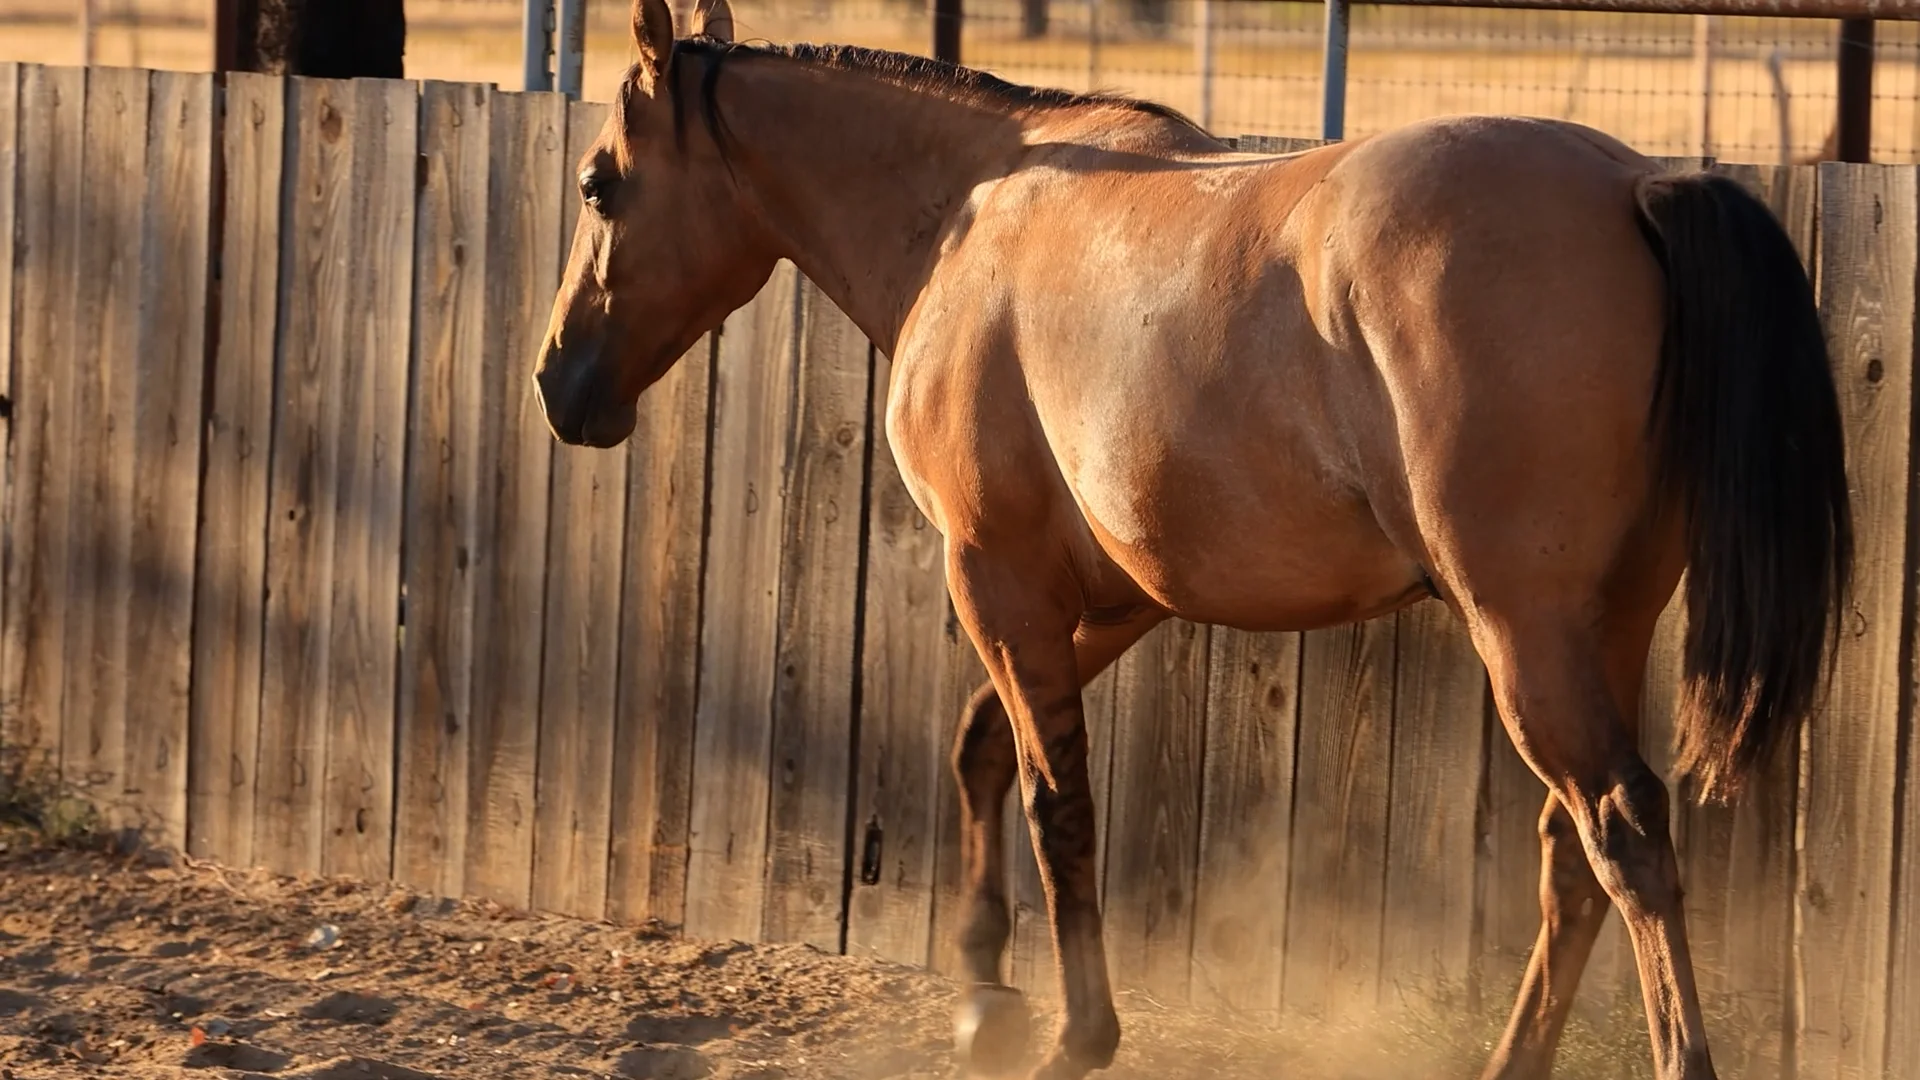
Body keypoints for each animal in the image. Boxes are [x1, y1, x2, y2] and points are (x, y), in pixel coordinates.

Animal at [531, 2, 1853, 1077]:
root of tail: (1636, 188)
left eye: (599, 185)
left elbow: (1057, 799)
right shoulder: (1116, 597)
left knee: (1622, 832)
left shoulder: (995, 574)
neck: (974, 211)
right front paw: (984, 992)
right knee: (1572, 857)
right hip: (1605, 627)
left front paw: (1070, 1034)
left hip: (1525, 635)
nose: (558, 383)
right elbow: (982, 745)